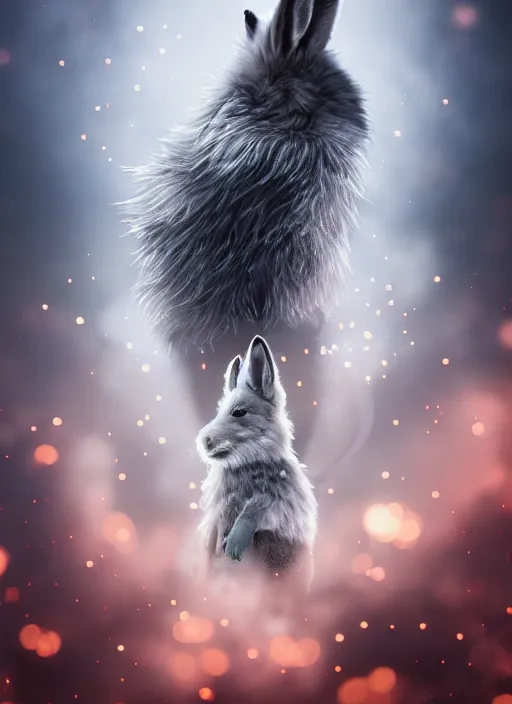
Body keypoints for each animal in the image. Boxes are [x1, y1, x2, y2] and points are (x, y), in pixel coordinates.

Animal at [195, 335, 318, 594]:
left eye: (239, 412)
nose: (204, 441)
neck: (247, 461)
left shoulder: (277, 499)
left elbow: (256, 509)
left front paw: (232, 547)